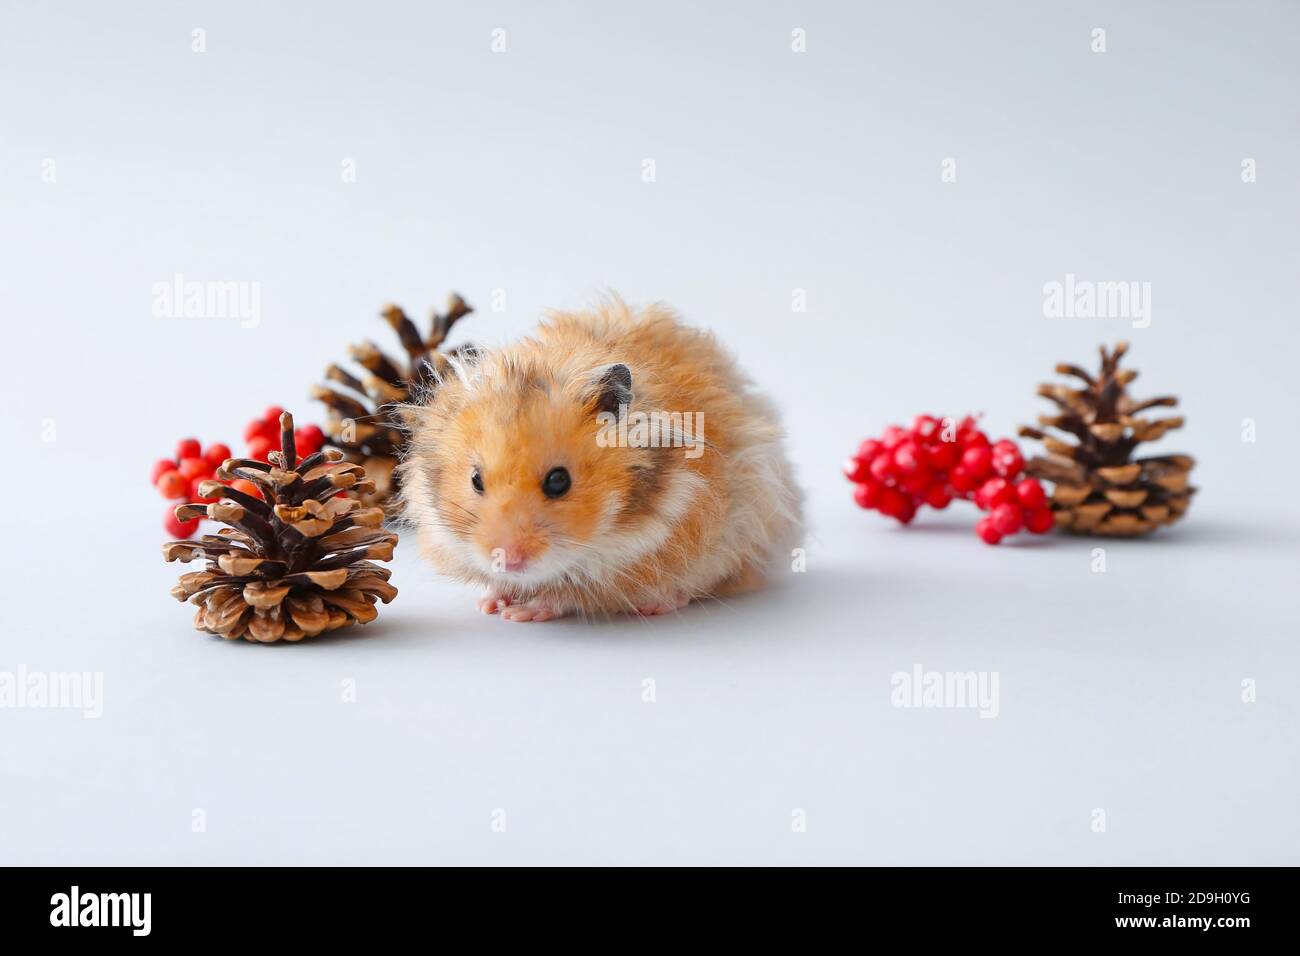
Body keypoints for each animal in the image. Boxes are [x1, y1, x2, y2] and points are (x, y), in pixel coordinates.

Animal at [398, 297, 803, 622]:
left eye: (559, 481)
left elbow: (569, 594)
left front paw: (520, 612)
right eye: (476, 480)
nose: (508, 561)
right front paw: (489, 602)